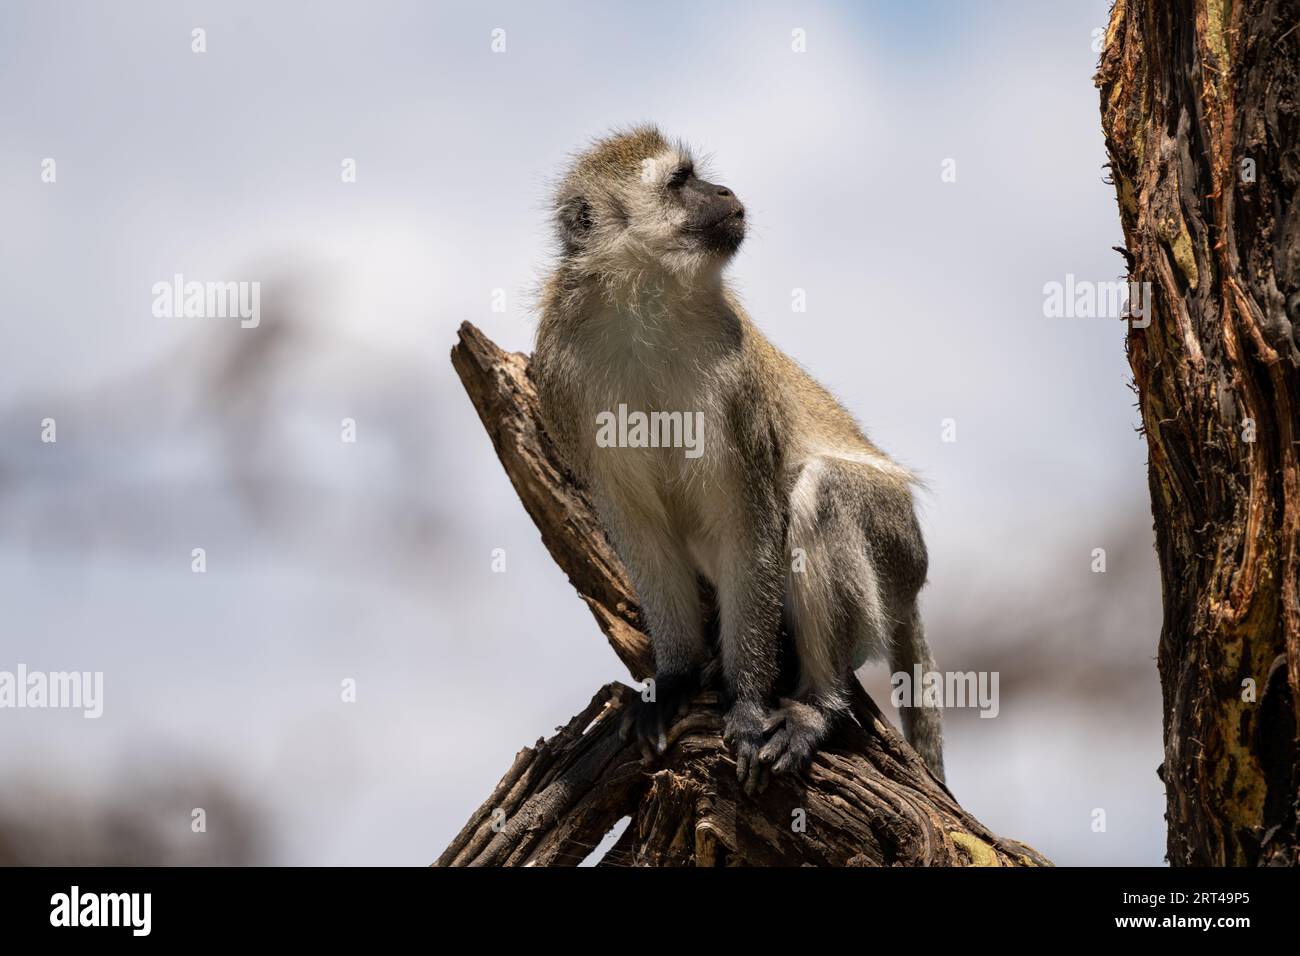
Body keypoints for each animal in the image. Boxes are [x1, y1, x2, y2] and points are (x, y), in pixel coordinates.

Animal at [532, 126, 944, 791]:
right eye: (681, 181)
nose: (723, 190)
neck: (642, 304)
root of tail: (915, 584)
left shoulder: (735, 378)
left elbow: (748, 525)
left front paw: (747, 705)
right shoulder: (562, 380)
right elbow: (641, 532)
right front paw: (673, 680)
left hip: (898, 545)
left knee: (824, 493)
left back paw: (818, 704)